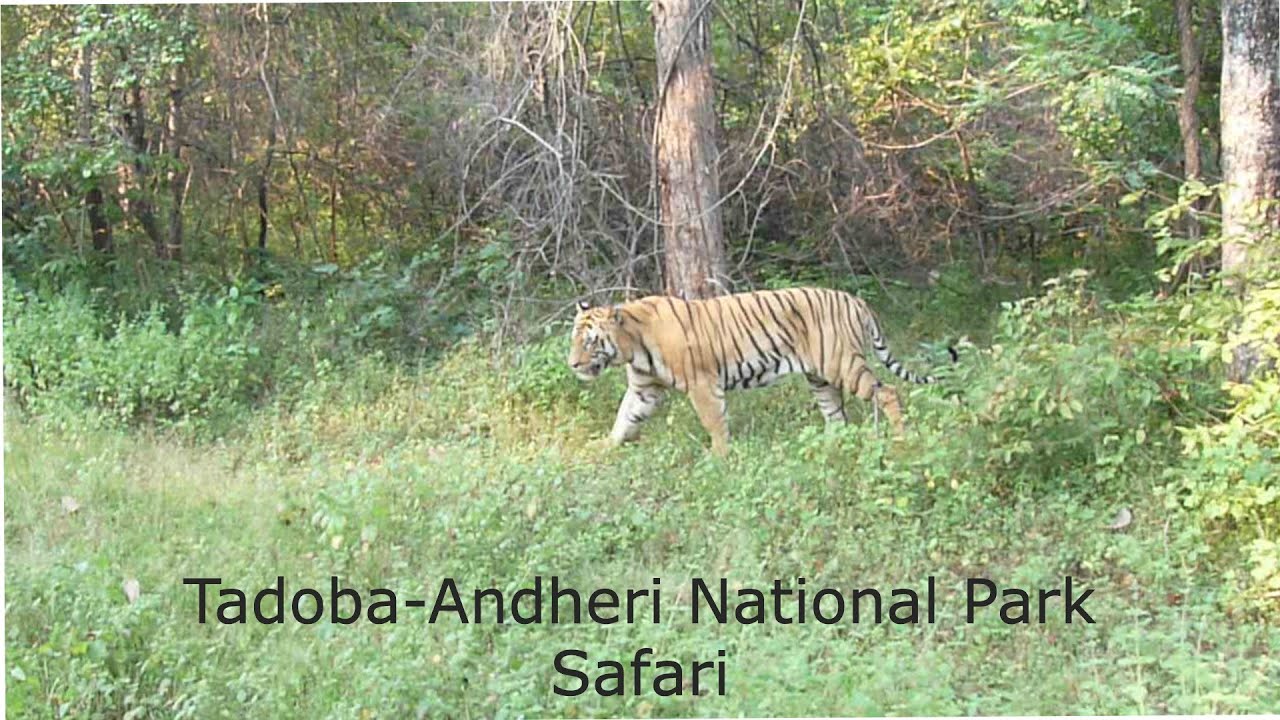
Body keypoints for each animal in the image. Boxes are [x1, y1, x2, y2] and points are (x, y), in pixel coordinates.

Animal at [568, 287, 950, 457]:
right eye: (574, 338)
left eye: (589, 342)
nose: (572, 364)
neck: (632, 345)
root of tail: (857, 300)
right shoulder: (644, 389)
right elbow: (624, 418)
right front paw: (604, 446)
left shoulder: (702, 385)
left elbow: (714, 422)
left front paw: (719, 458)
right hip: (820, 378)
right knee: (837, 417)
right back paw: (827, 446)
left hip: (842, 364)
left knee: (888, 392)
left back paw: (901, 439)